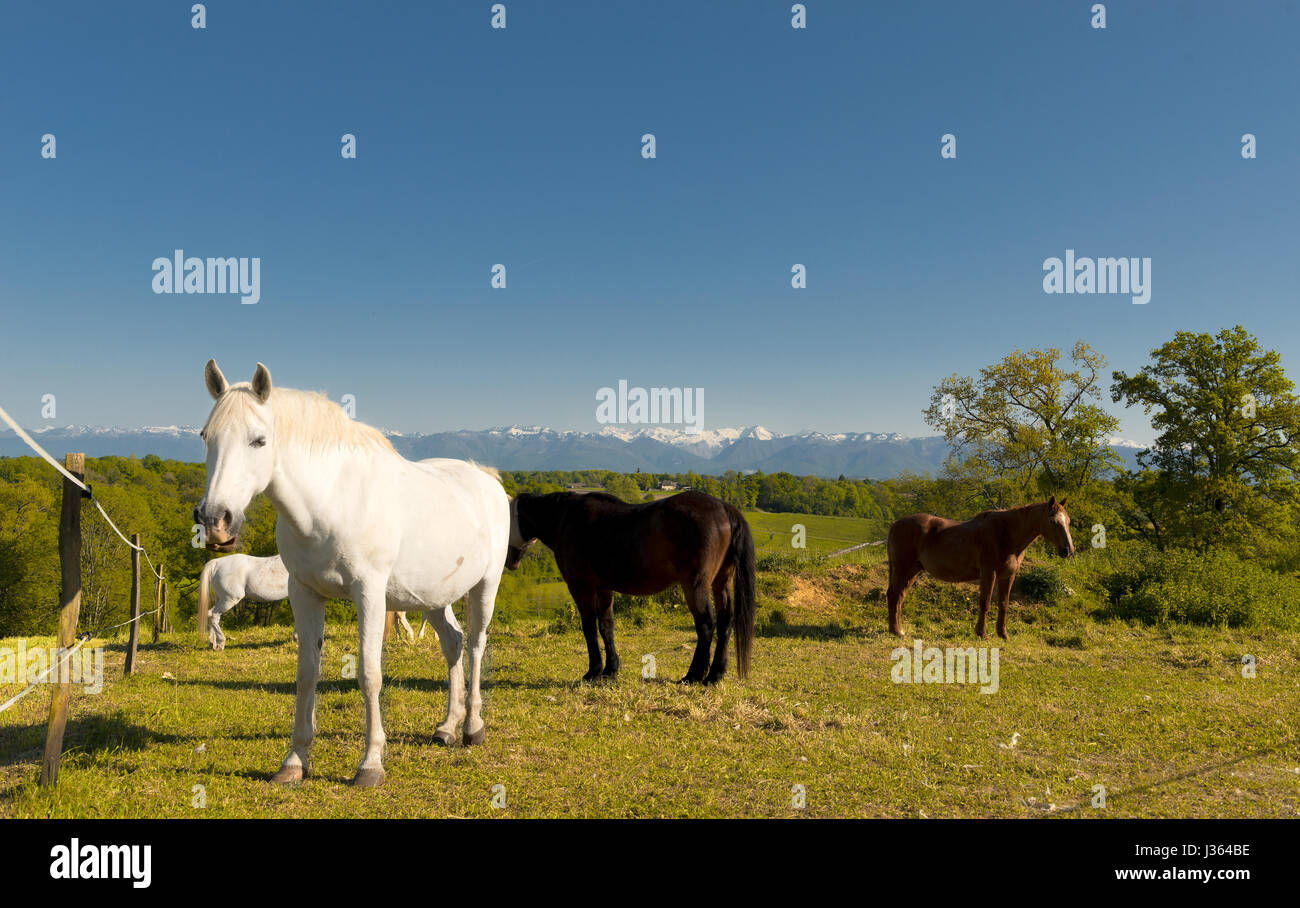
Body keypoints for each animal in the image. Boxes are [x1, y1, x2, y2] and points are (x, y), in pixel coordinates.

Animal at [194, 360, 510, 787]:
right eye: (206, 437)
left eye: (258, 441)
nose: (215, 521)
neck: (331, 501)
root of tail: (486, 478)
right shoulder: (304, 593)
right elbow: (307, 673)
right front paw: (294, 761)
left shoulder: (369, 594)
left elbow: (369, 674)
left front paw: (370, 764)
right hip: (432, 598)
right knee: (454, 643)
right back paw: (446, 727)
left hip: (484, 587)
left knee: (476, 643)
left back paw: (473, 727)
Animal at [509, 489, 756, 684]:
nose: (509, 562)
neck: (565, 518)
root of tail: (724, 508)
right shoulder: (603, 589)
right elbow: (606, 627)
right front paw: (610, 670)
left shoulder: (582, 588)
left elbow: (589, 628)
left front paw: (593, 672)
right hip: (721, 582)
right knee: (725, 622)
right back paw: (715, 675)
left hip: (695, 586)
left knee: (706, 624)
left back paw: (693, 675)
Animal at [885, 496, 1075, 640]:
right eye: (1053, 521)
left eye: (1068, 521)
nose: (1068, 550)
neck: (1006, 534)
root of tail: (895, 525)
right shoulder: (989, 573)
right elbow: (985, 602)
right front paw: (982, 633)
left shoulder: (1008, 575)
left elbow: (1004, 603)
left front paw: (1003, 634)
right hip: (903, 568)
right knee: (894, 595)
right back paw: (896, 631)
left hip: (912, 570)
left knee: (899, 596)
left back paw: (898, 630)